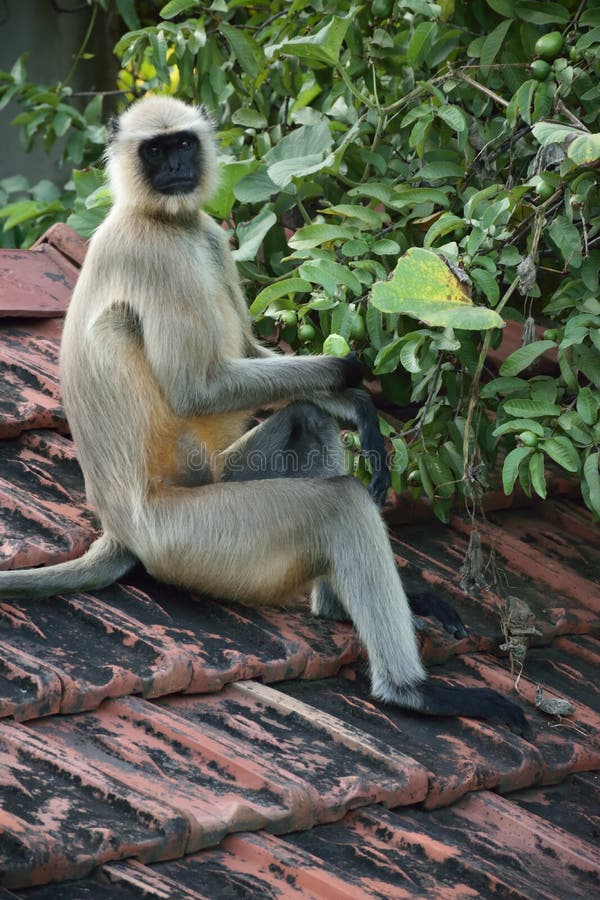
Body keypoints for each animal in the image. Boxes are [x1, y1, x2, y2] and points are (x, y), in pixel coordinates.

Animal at [0, 96, 529, 736]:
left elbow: (251, 354)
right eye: (155, 150)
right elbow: (195, 391)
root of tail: (119, 529)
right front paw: (347, 371)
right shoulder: (150, 252)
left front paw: (358, 406)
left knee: (306, 420)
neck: (166, 221)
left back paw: (335, 605)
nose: (175, 167)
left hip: (218, 485)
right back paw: (411, 694)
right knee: (337, 504)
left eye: (182, 144)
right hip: (188, 536)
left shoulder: (208, 235)